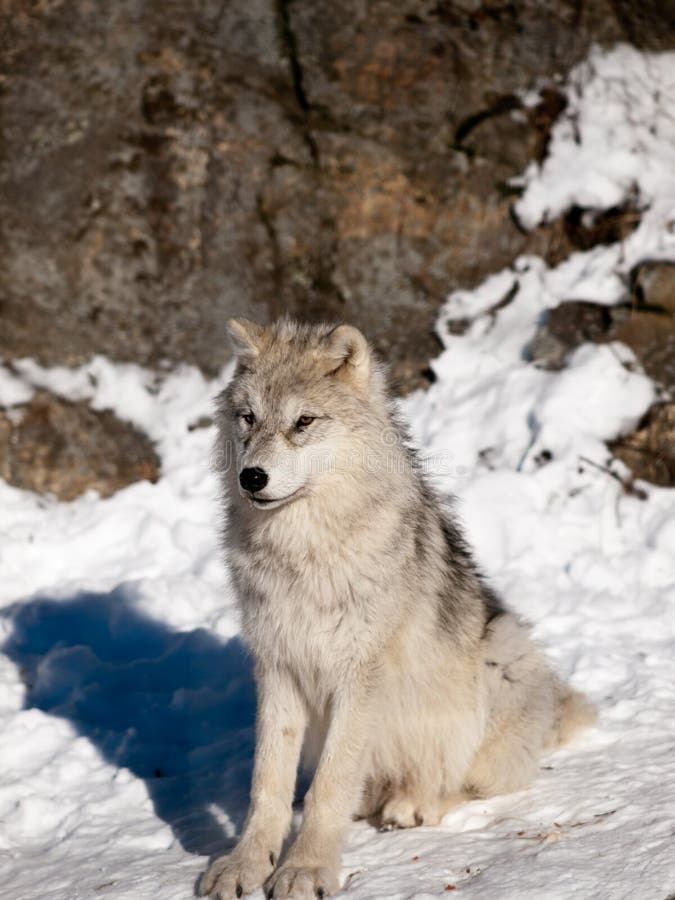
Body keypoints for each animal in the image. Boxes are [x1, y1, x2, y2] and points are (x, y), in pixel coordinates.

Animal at [200, 318, 594, 900]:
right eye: (248, 418)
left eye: (303, 422)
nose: (252, 477)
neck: (304, 552)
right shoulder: (278, 669)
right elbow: (267, 785)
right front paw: (246, 864)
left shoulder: (360, 676)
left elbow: (329, 787)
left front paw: (306, 870)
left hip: (502, 649)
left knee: (472, 783)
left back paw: (416, 802)